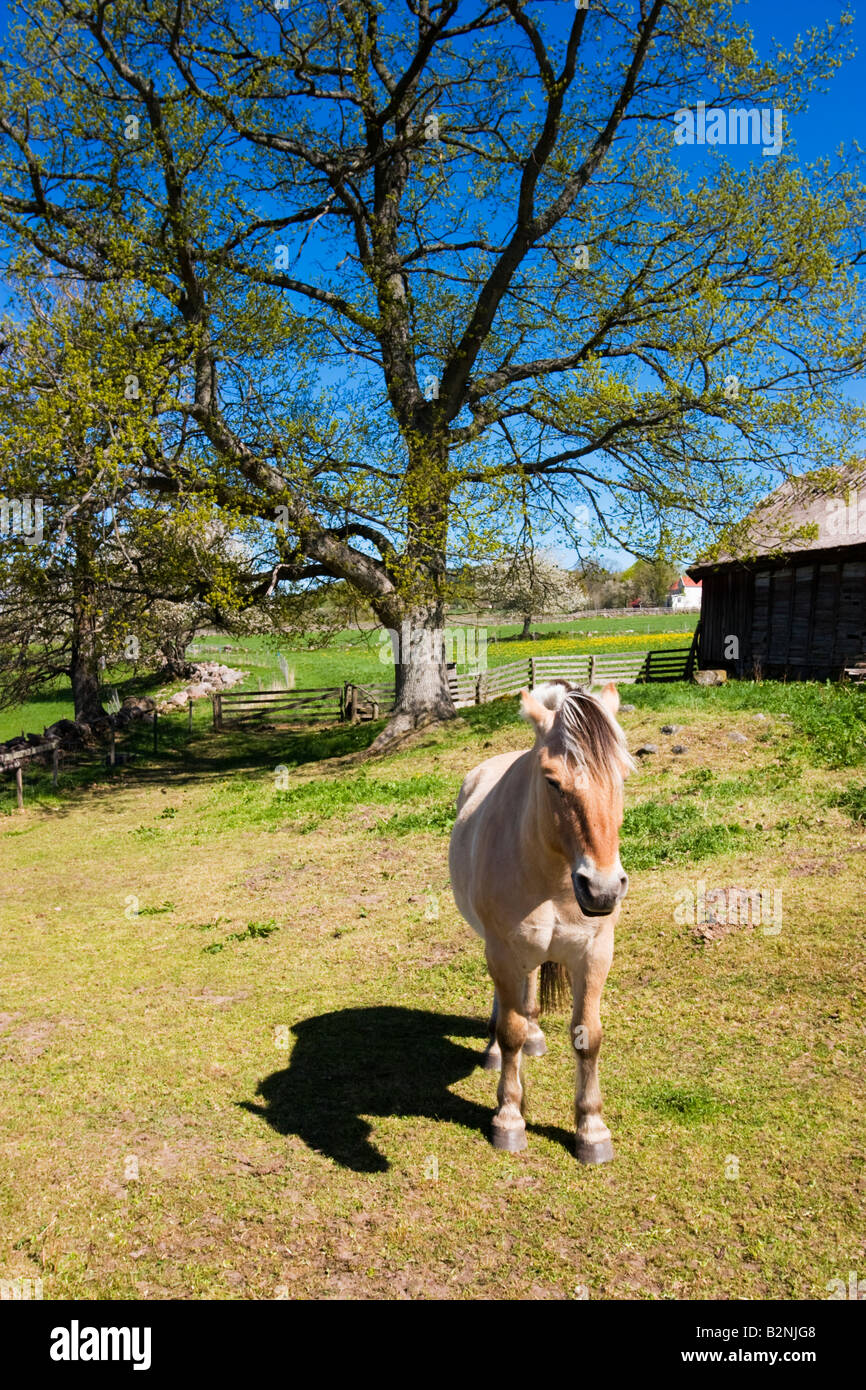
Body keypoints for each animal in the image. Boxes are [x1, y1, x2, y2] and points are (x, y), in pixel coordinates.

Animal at [448, 680, 633, 1162]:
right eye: (552, 780)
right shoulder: (503, 951)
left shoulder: (594, 955)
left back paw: (535, 1037)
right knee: (506, 1008)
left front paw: (592, 1130)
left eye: (622, 777)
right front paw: (509, 1118)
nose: (602, 890)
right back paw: (497, 1049)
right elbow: (510, 1029)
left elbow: (588, 1036)